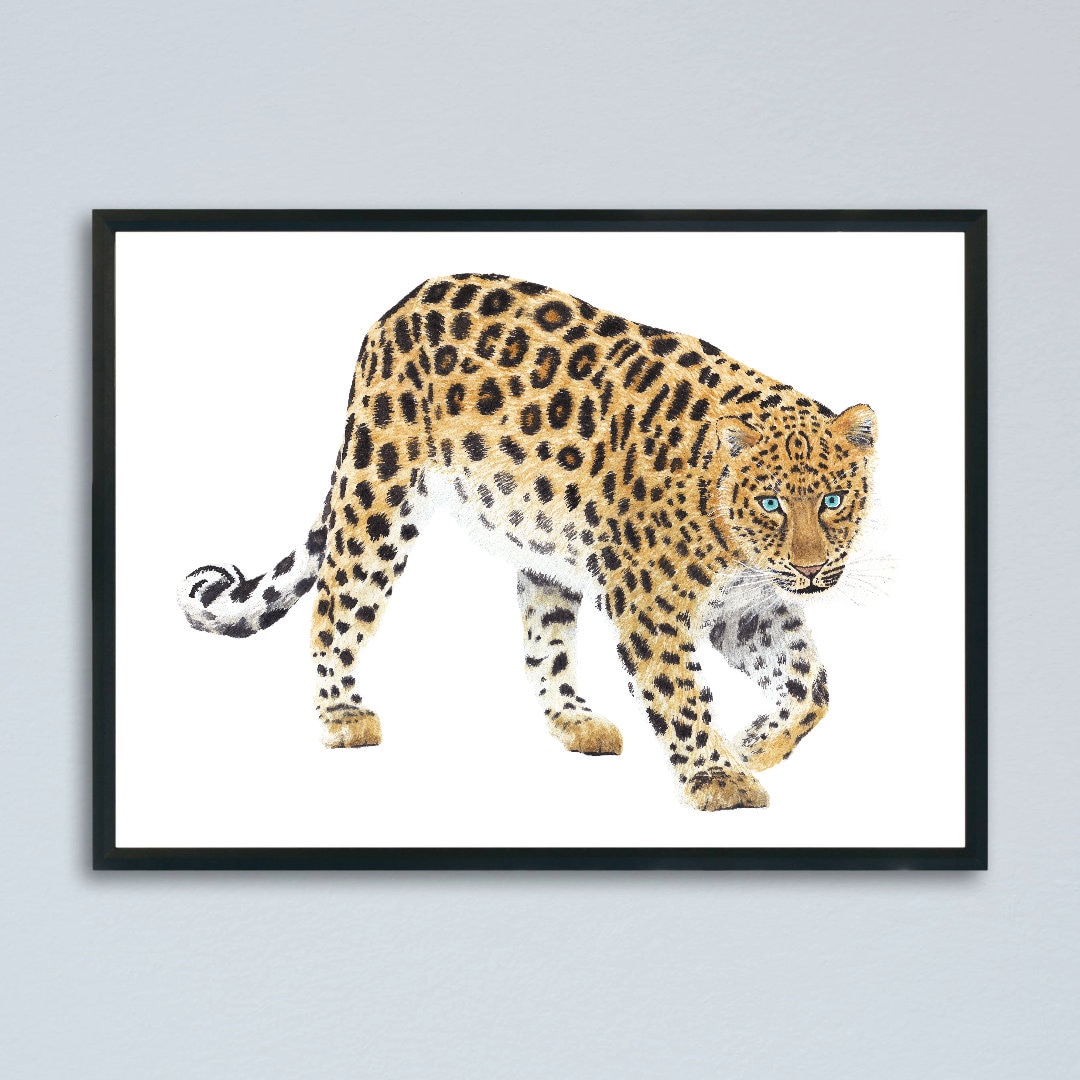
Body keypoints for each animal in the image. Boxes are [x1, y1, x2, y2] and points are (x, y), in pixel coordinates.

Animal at [178, 273, 877, 811]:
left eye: (833, 501)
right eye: (770, 503)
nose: (813, 571)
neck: (738, 548)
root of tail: (396, 308)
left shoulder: (749, 607)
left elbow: (811, 686)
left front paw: (755, 744)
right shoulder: (650, 605)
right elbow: (680, 695)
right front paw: (718, 779)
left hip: (548, 554)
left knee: (545, 646)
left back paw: (578, 721)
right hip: (378, 496)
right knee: (334, 607)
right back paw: (342, 715)